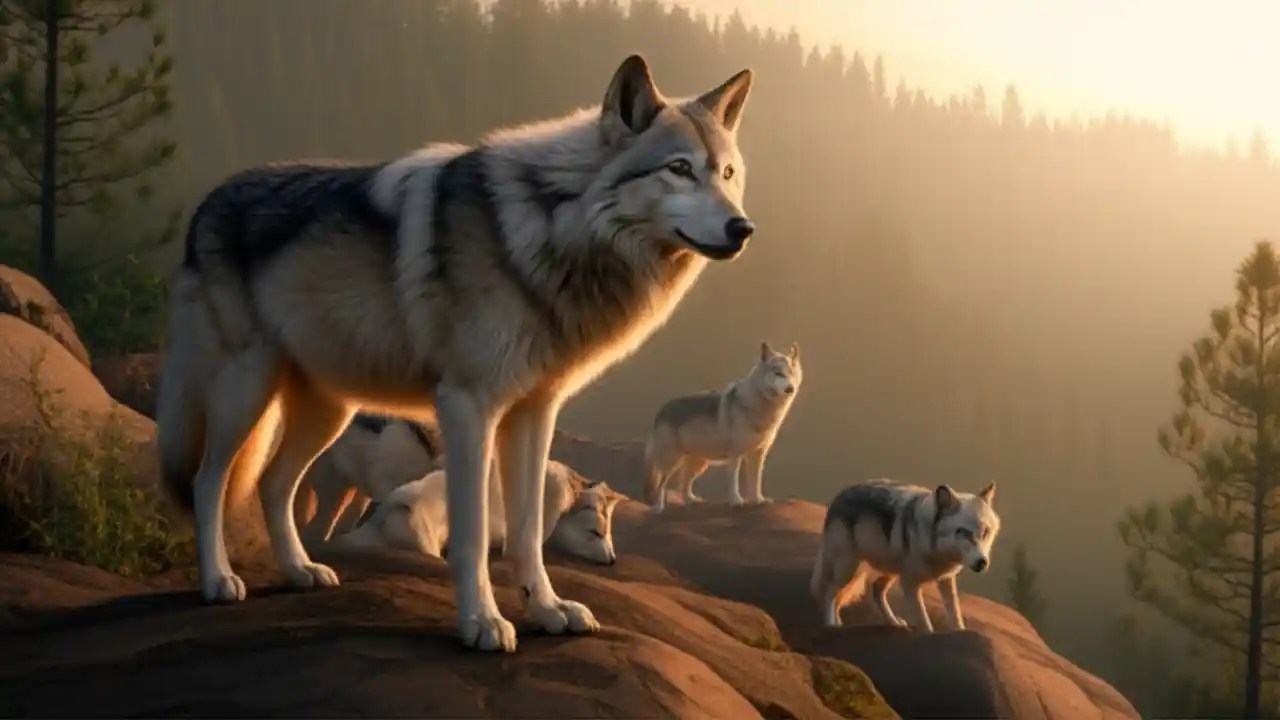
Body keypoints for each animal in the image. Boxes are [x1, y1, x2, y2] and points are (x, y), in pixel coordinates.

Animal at [644, 341, 802, 512]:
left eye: (791, 373)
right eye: (778, 373)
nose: (790, 388)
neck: (758, 406)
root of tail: (661, 409)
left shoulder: (758, 455)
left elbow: (755, 482)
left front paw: (758, 500)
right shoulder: (735, 455)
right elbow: (733, 482)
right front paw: (736, 501)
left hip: (699, 464)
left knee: (684, 483)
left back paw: (691, 501)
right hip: (672, 462)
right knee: (661, 485)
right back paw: (658, 508)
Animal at [809, 480, 1000, 632]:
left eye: (986, 532)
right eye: (963, 532)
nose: (982, 562)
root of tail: (838, 497)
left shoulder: (946, 579)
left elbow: (955, 613)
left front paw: (959, 632)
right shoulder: (910, 584)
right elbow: (924, 621)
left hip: (889, 572)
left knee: (875, 590)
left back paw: (892, 622)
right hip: (849, 569)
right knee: (831, 593)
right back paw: (831, 625)